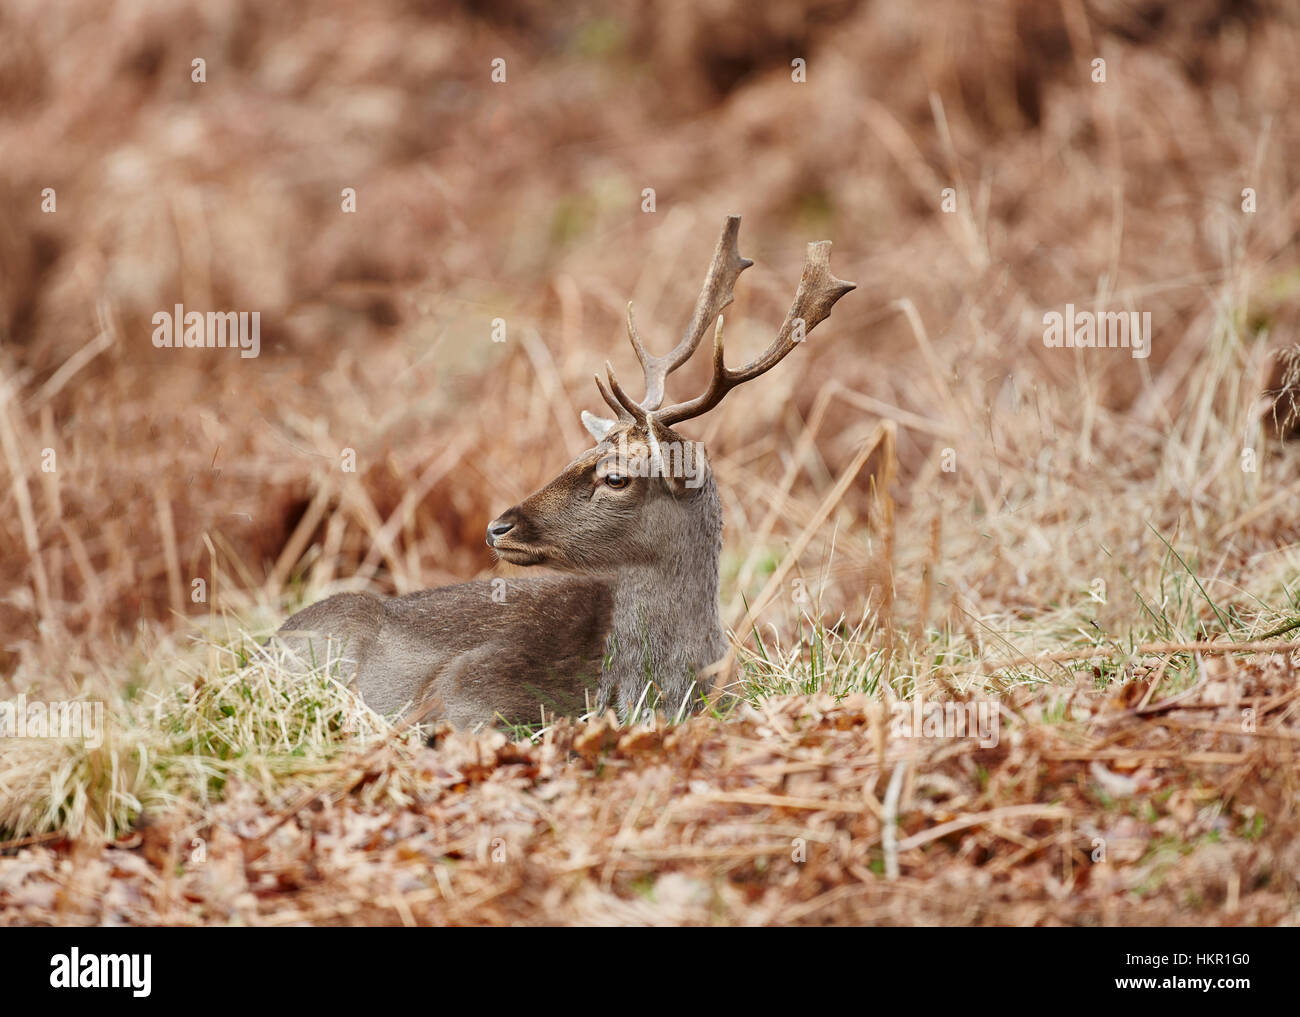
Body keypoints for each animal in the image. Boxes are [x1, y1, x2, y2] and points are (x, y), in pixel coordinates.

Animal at [273, 215, 855, 729]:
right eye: (577, 453)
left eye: (615, 476)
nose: (498, 526)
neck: (660, 690)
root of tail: (266, 642)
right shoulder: (462, 692)